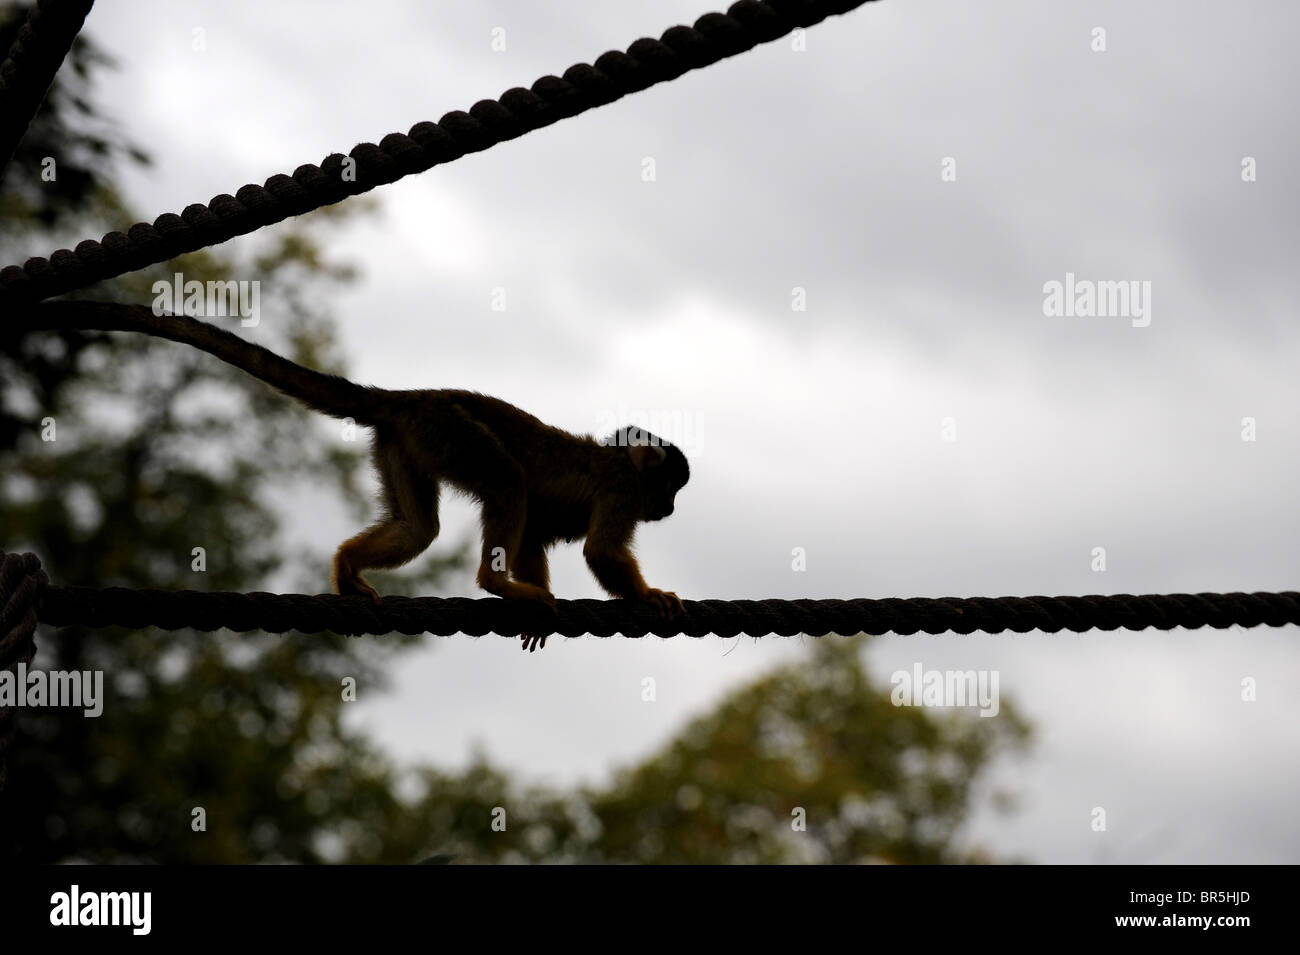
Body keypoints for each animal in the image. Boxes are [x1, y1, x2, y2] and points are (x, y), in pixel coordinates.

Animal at [24, 303, 689, 639]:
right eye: (670, 488)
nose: (672, 509)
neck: (626, 467)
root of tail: (412, 397)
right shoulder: (623, 490)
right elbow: (599, 550)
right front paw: (649, 595)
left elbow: (536, 537)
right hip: (450, 432)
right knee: (506, 480)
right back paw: (495, 582)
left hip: (407, 442)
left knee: (420, 527)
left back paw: (349, 565)